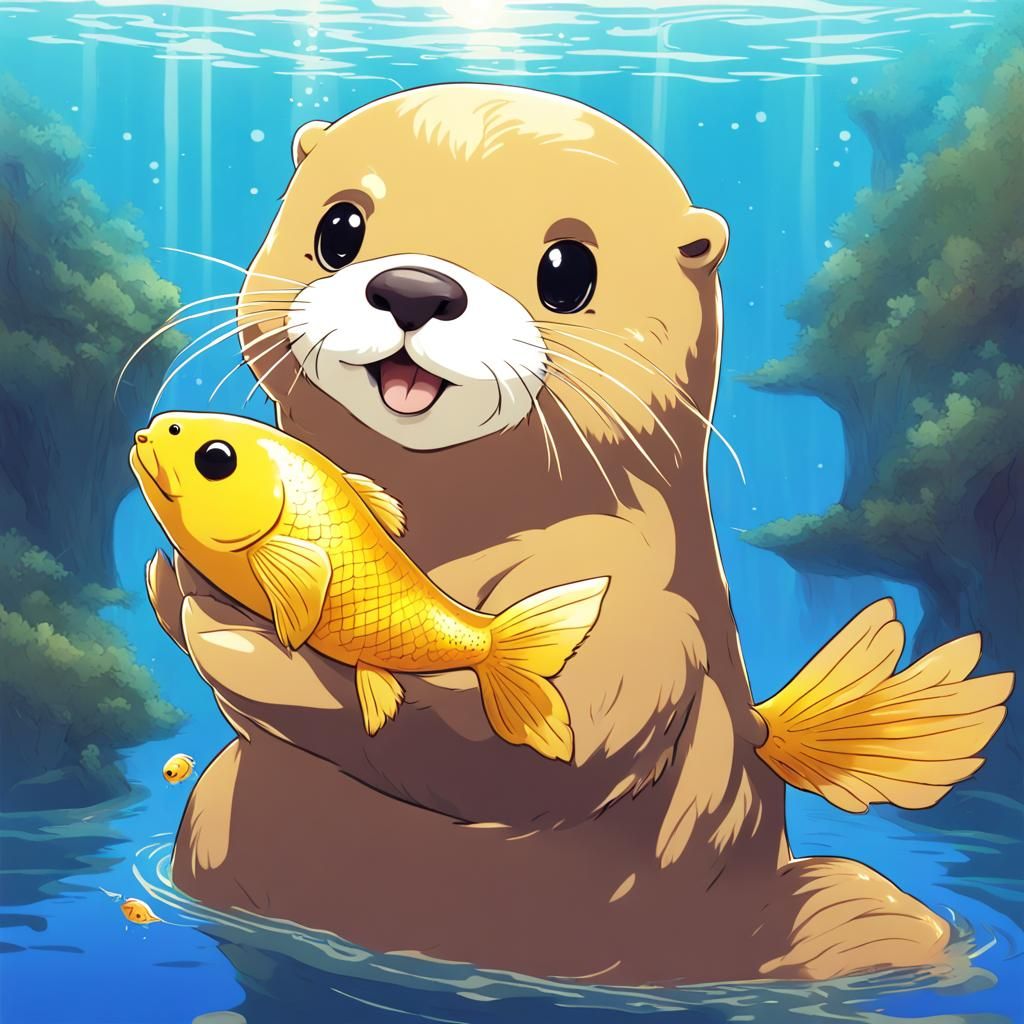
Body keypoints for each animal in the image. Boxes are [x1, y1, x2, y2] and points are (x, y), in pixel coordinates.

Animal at [145, 84, 1008, 985]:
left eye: (567, 271)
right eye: (339, 229)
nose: (415, 289)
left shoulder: (643, 598)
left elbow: (547, 751)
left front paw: (251, 649)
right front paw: (186, 592)